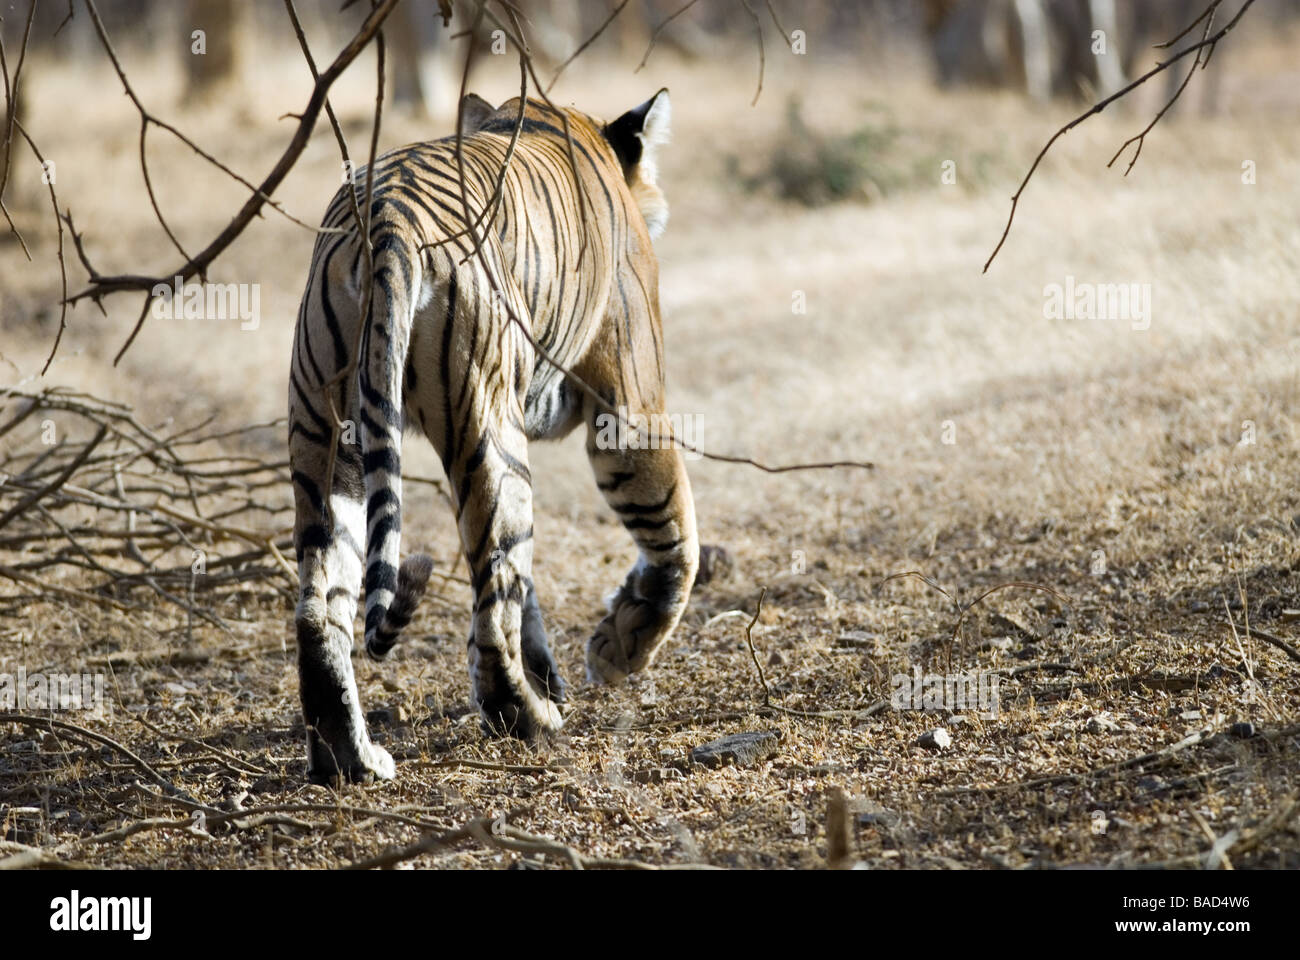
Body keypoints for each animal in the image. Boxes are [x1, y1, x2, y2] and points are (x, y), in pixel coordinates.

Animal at [287, 89, 700, 784]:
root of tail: (388, 221)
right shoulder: (632, 405)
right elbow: (676, 538)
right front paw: (621, 645)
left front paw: (560, 665)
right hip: (491, 436)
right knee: (493, 603)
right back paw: (529, 719)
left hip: (324, 437)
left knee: (321, 605)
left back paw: (351, 758)